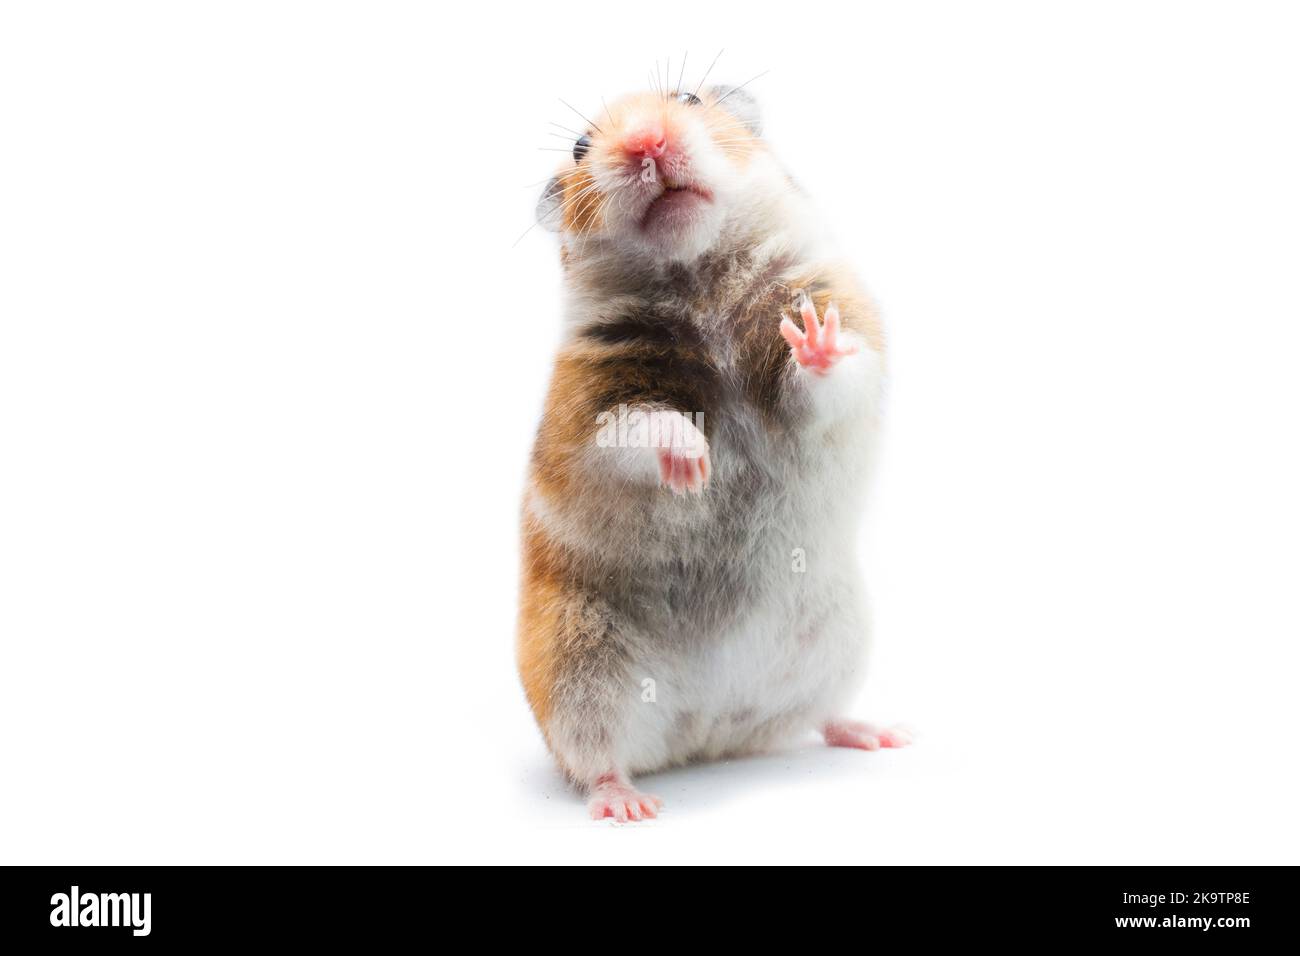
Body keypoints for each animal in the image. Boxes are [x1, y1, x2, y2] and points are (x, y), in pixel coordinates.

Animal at [519, 77, 910, 822]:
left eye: (689, 99)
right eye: (581, 146)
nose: (645, 141)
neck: (698, 274)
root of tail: (707, 736)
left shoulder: (844, 325)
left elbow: (831, 375)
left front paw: (813, 342)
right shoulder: (585, 412)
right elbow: (639, 425)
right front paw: (694, 467)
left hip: (840, 640)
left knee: (816, 716)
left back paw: (881, 735)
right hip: (577, 666)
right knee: (597, 757)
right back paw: (627, 805)